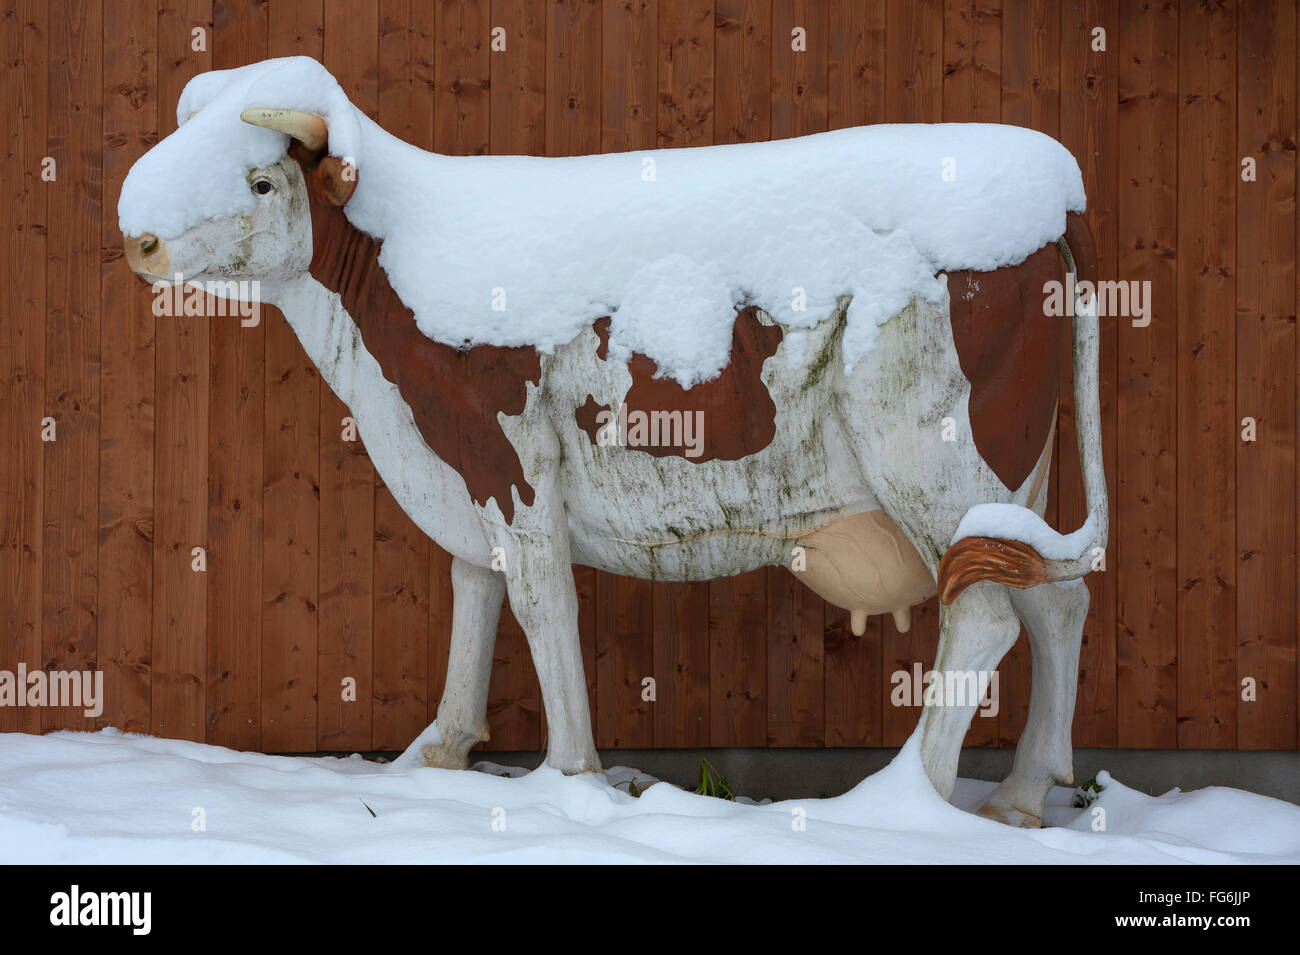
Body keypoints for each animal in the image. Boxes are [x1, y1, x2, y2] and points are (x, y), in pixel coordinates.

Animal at [120, 57, 1106, 828]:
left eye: (261, 183)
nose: (141, 237)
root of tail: (1053, 185)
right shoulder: (460, 465)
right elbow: (474, 594)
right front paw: (437, 757)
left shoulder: (510, 458)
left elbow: (541, 604)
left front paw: (570, 779)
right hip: (1011, 477)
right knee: (1054, 598)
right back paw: (1018, 797)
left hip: (929, 457)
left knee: (983, 617)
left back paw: (907, 803)